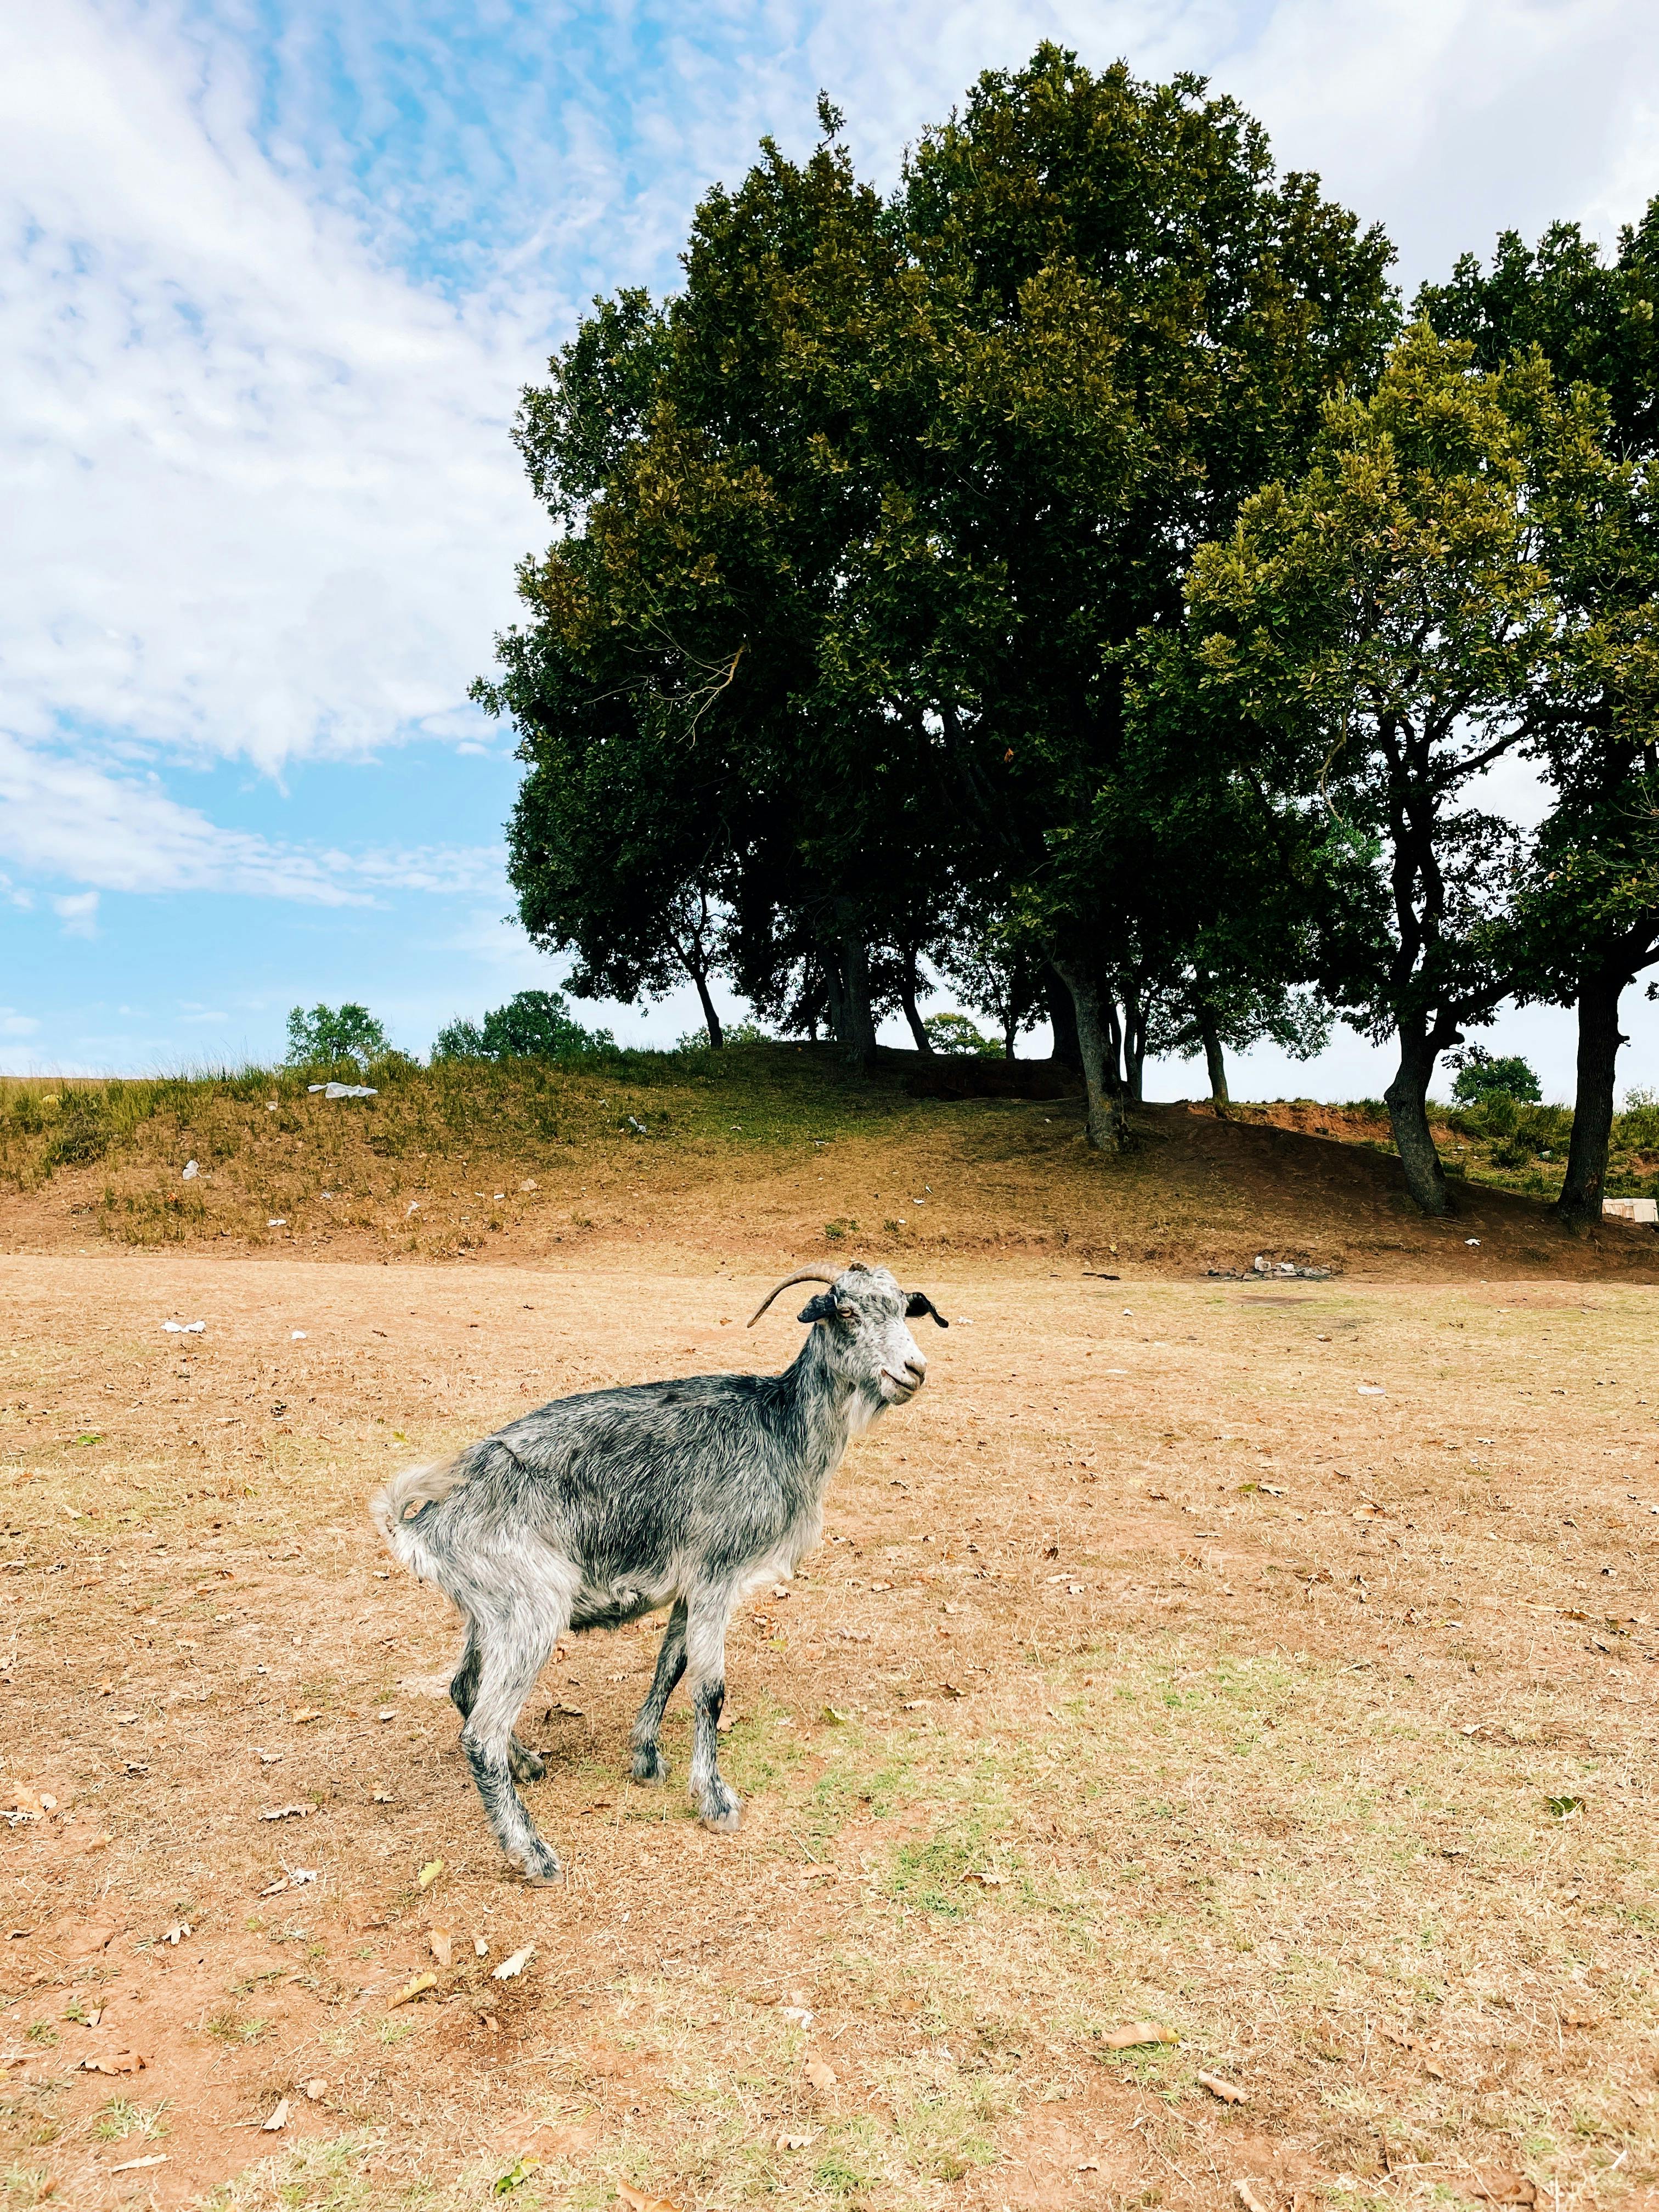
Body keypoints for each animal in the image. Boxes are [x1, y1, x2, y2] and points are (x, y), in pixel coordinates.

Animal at [369, 1262, 946, 1882]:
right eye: (845, 1311)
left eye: (903, 1308)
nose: (913, 1370)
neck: (779, 1427)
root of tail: (424, 1524)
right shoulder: (719, 1573)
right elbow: (710, 1689)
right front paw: (715, 1799)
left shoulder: (690, 1584)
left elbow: (671, 1666)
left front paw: (645, 1758)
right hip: (532, 1610)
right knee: (482, 1734)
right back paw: (532, 1852)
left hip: (489, 1615)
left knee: (463, 1688)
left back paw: (527, 1764)